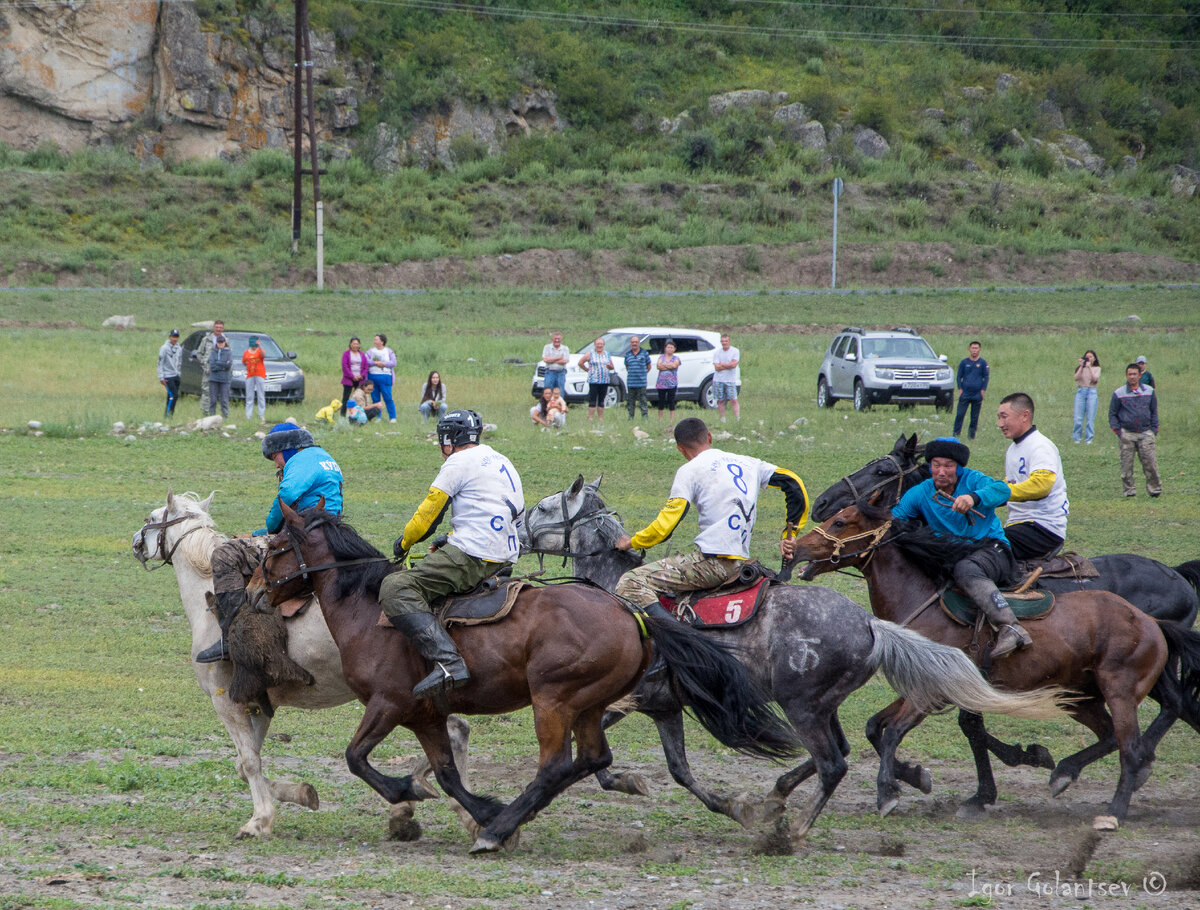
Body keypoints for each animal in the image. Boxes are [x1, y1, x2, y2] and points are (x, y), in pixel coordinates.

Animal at [132, 492, 468, 840]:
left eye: (151, 517)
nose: (135, 543)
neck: (207, 600)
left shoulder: (226, 701)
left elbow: (249, 762)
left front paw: (259, 820)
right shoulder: (259, 703)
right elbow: (245, 764)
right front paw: (302, 794)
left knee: (452, 733)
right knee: (457, 731)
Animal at [248, 499, 801, 854]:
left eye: (273, 547)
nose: (251, 592)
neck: (368, 609)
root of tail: (630, 611)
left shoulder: (388, 704)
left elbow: (357, 759)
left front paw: (416, 796)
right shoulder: (424, 716)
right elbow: (447, 775)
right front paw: (480, 809)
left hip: (553, 700)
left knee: (556, 766)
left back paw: (498, 832)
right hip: (588, 705)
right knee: (593, 758)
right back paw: (507, 820)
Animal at [520, 473, 1065, 849]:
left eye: (546, 506)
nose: (517, 524)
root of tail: (870, 625)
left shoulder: (623, 700)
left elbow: (603, 757)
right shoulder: (663, 706)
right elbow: (678, 770)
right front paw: (730, 807)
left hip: (801, 705)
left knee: (833, 763)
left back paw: (795, 828)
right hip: (821, 706)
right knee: (841, 749)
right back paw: (790, 799)